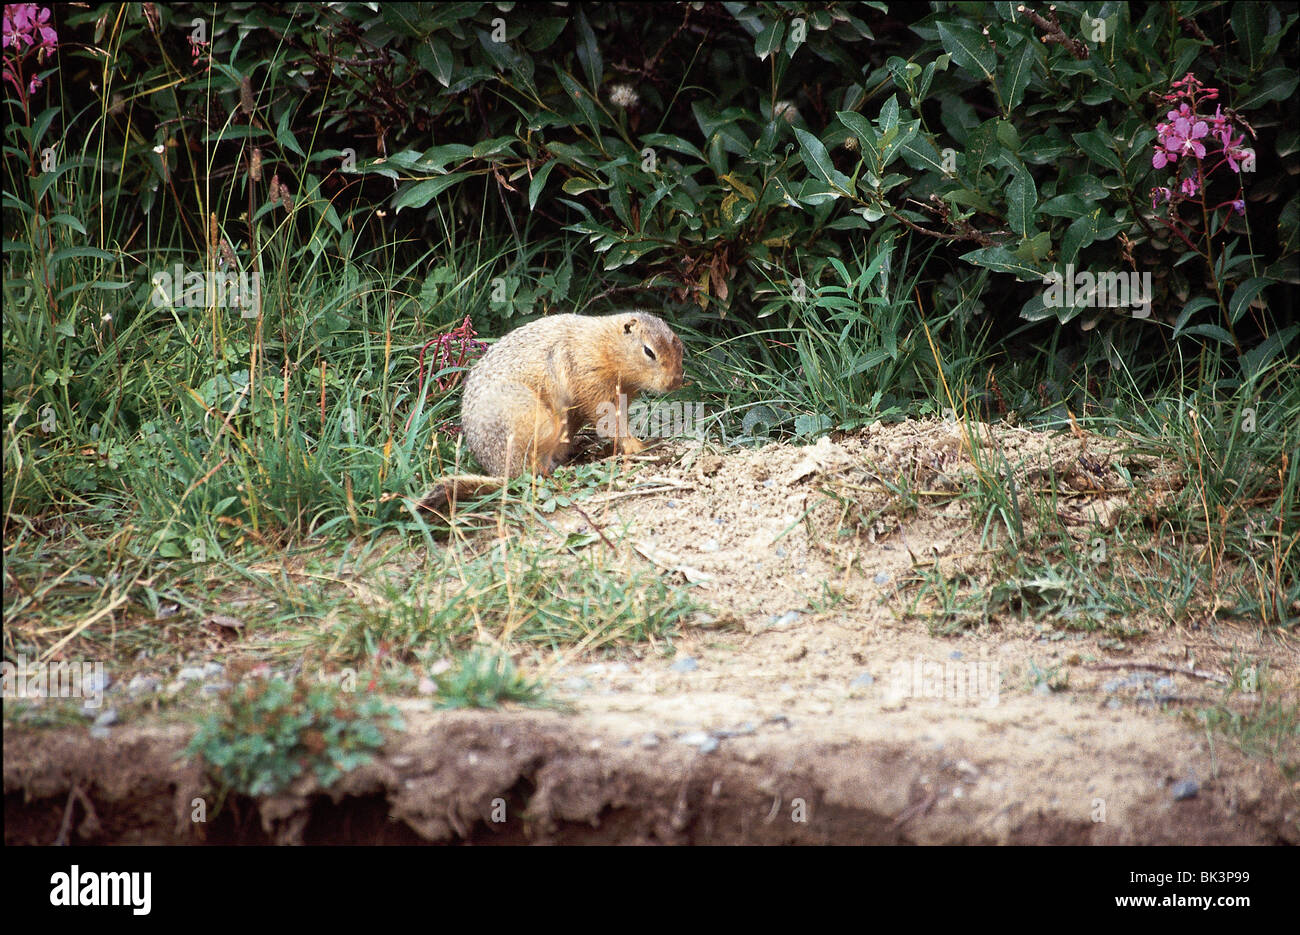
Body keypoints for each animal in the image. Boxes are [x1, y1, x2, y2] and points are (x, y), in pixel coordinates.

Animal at [419, 311, 684, 513]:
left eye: (679, 346)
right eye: (648, 351)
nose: (676, 382)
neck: (605, 344)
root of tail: (505, 473)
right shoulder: (592, 379)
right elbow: (609, 420)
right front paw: (641, 445)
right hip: (534, 419)